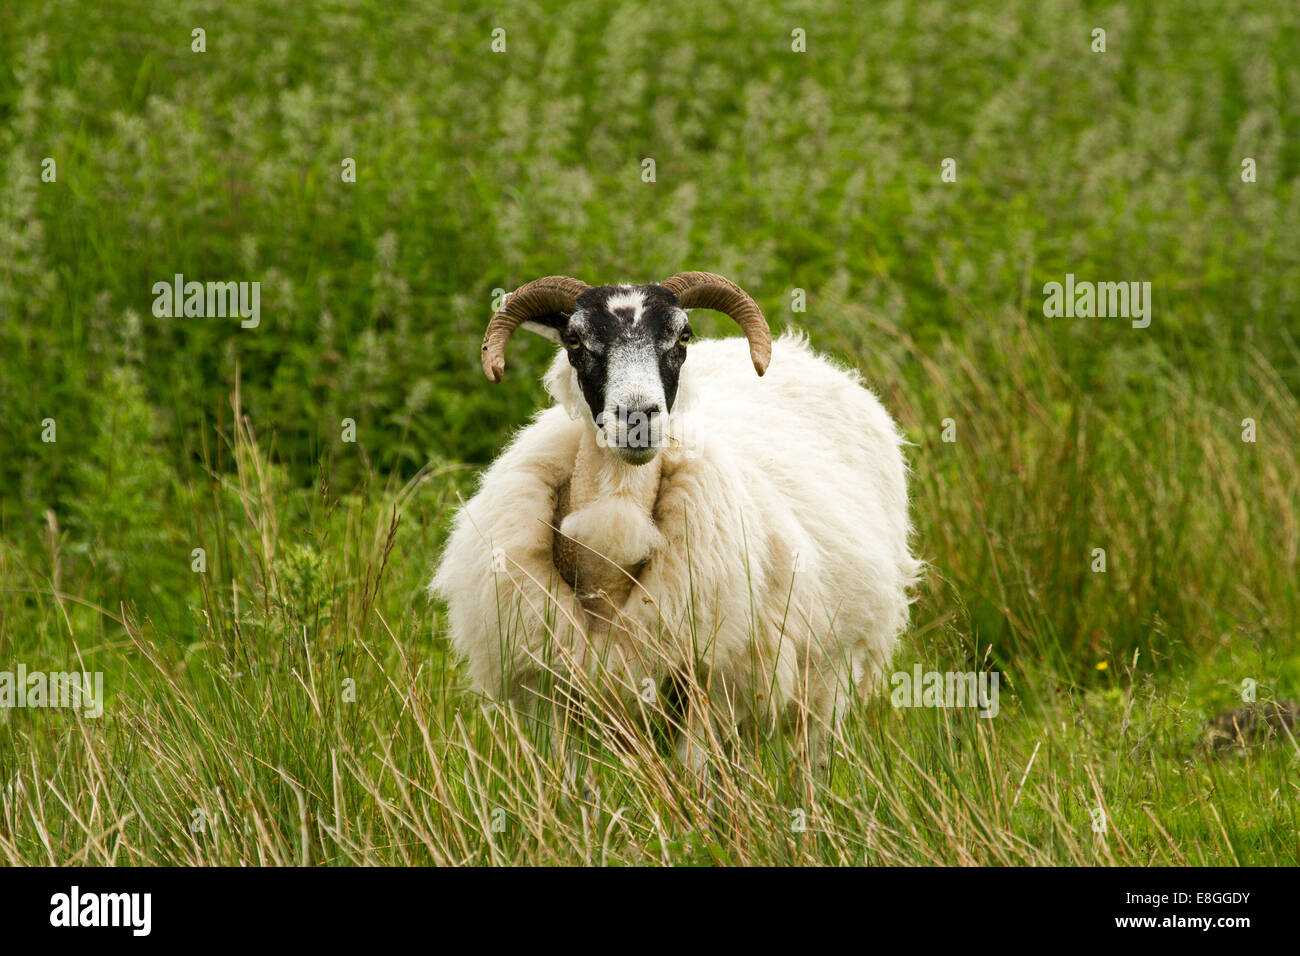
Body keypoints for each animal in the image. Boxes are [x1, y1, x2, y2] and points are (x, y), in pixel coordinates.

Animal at [431, 272, 919, 763]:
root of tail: (801, 351)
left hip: (833, 670)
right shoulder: (557, 692)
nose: (638, 417)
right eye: (574, 340)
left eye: (682, 337)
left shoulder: (710, 686)